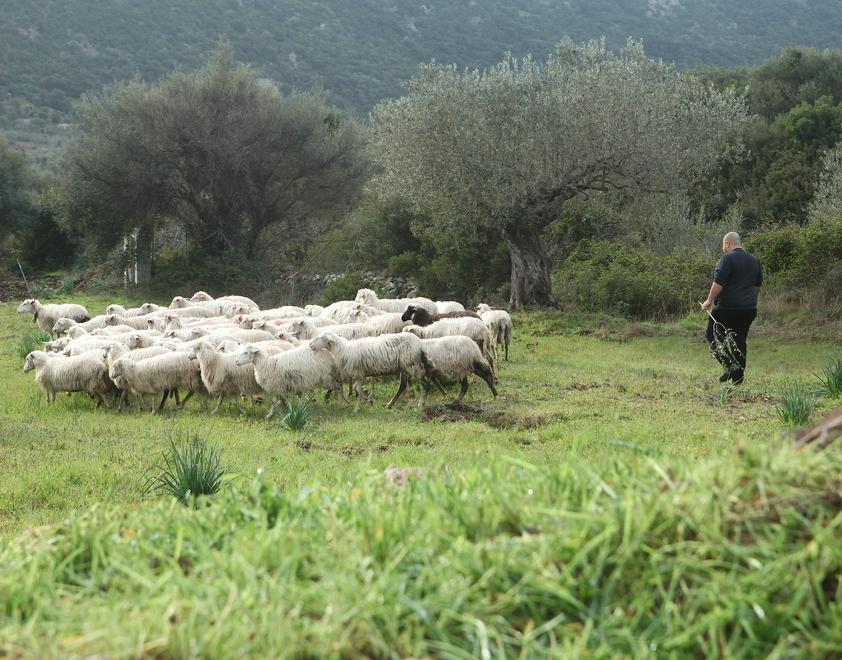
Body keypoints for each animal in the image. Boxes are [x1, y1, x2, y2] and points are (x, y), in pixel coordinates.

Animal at [308, 332, 437, 411]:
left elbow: (358, 392)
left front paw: (357, 408)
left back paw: (420, 405)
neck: (344, 349)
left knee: (425, 385)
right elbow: (358, 390)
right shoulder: (359, 375)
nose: (310, 345)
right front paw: (366, 401)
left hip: (413, 365)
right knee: (403, 386)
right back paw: (390, 404)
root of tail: (420, 343)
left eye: (321, 338)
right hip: (405, 367)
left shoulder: (357, 373)